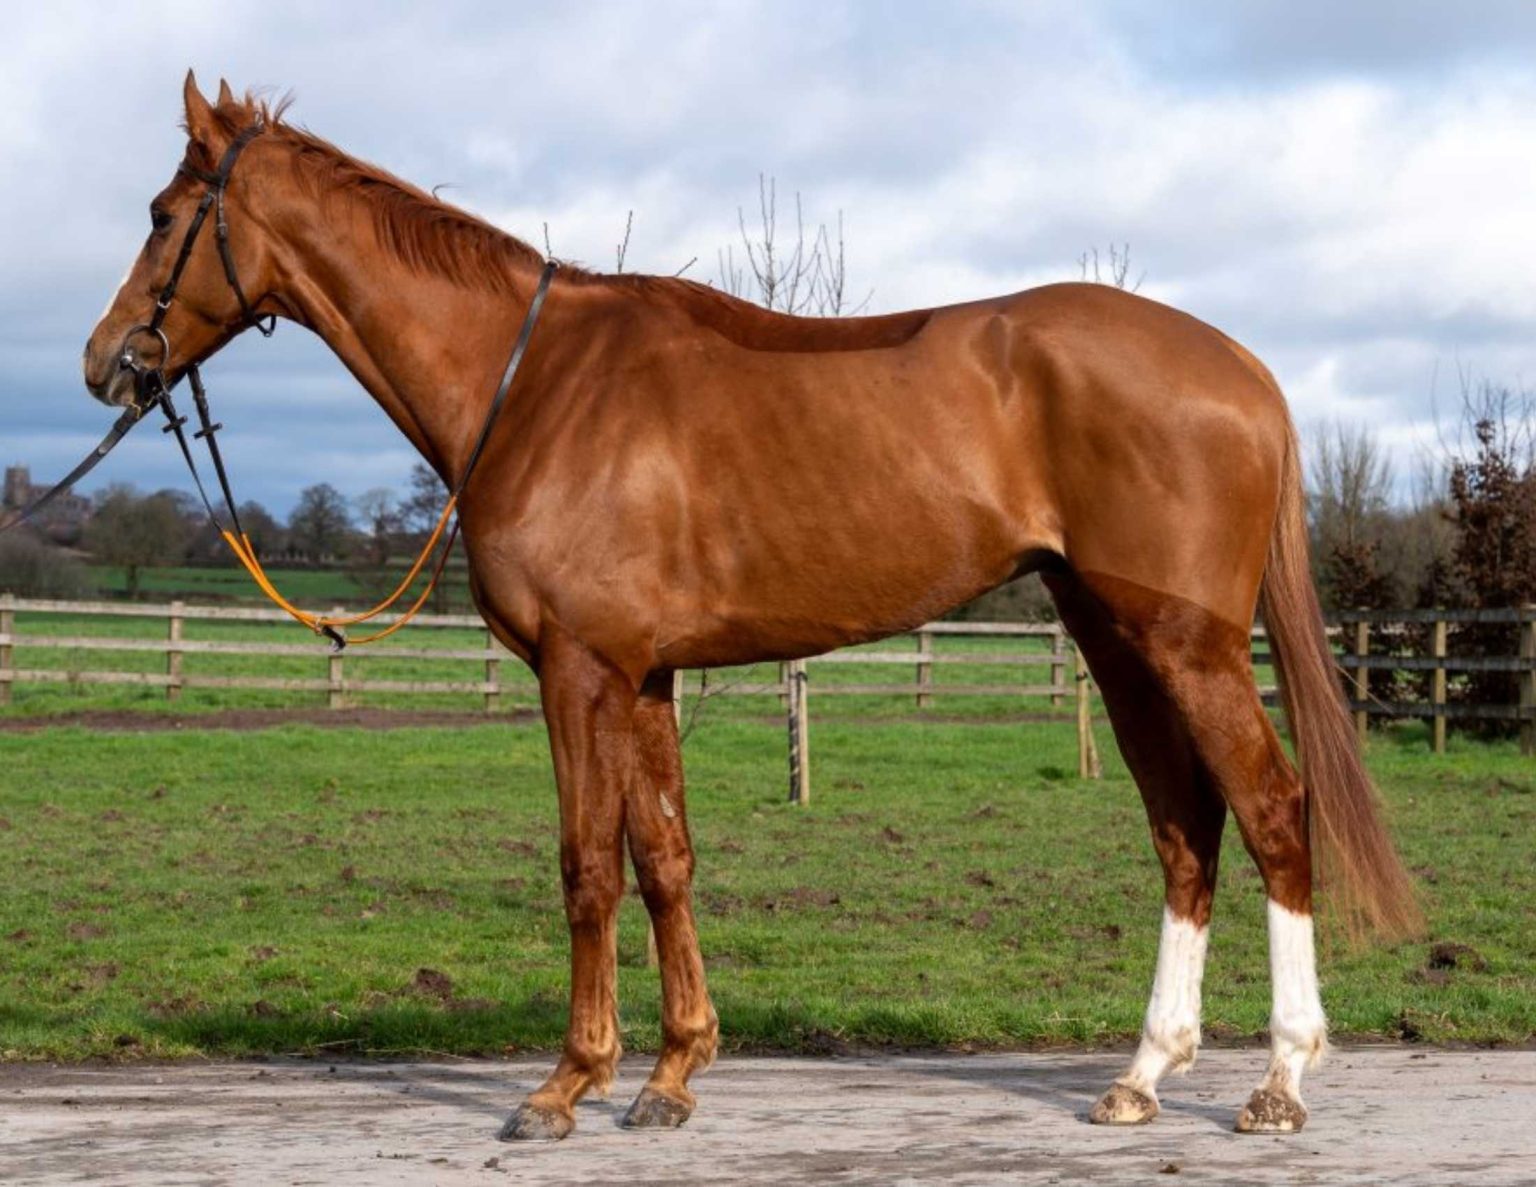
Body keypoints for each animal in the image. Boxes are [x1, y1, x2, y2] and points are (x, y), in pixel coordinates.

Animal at [83, 74, 1421, 1141]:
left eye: (161, 215)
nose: (107, 363)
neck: (533, 378)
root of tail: (1242, 369)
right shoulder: (644, 673)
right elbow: (666, 858)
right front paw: (670, 1074)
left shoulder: (577, 668)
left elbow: (587, 865)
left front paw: (565, 1083)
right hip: (1114, 637)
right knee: (1186, 827)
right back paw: (1144, 1072)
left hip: (1186, 643)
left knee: (1274, 811)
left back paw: (1280, 1080)